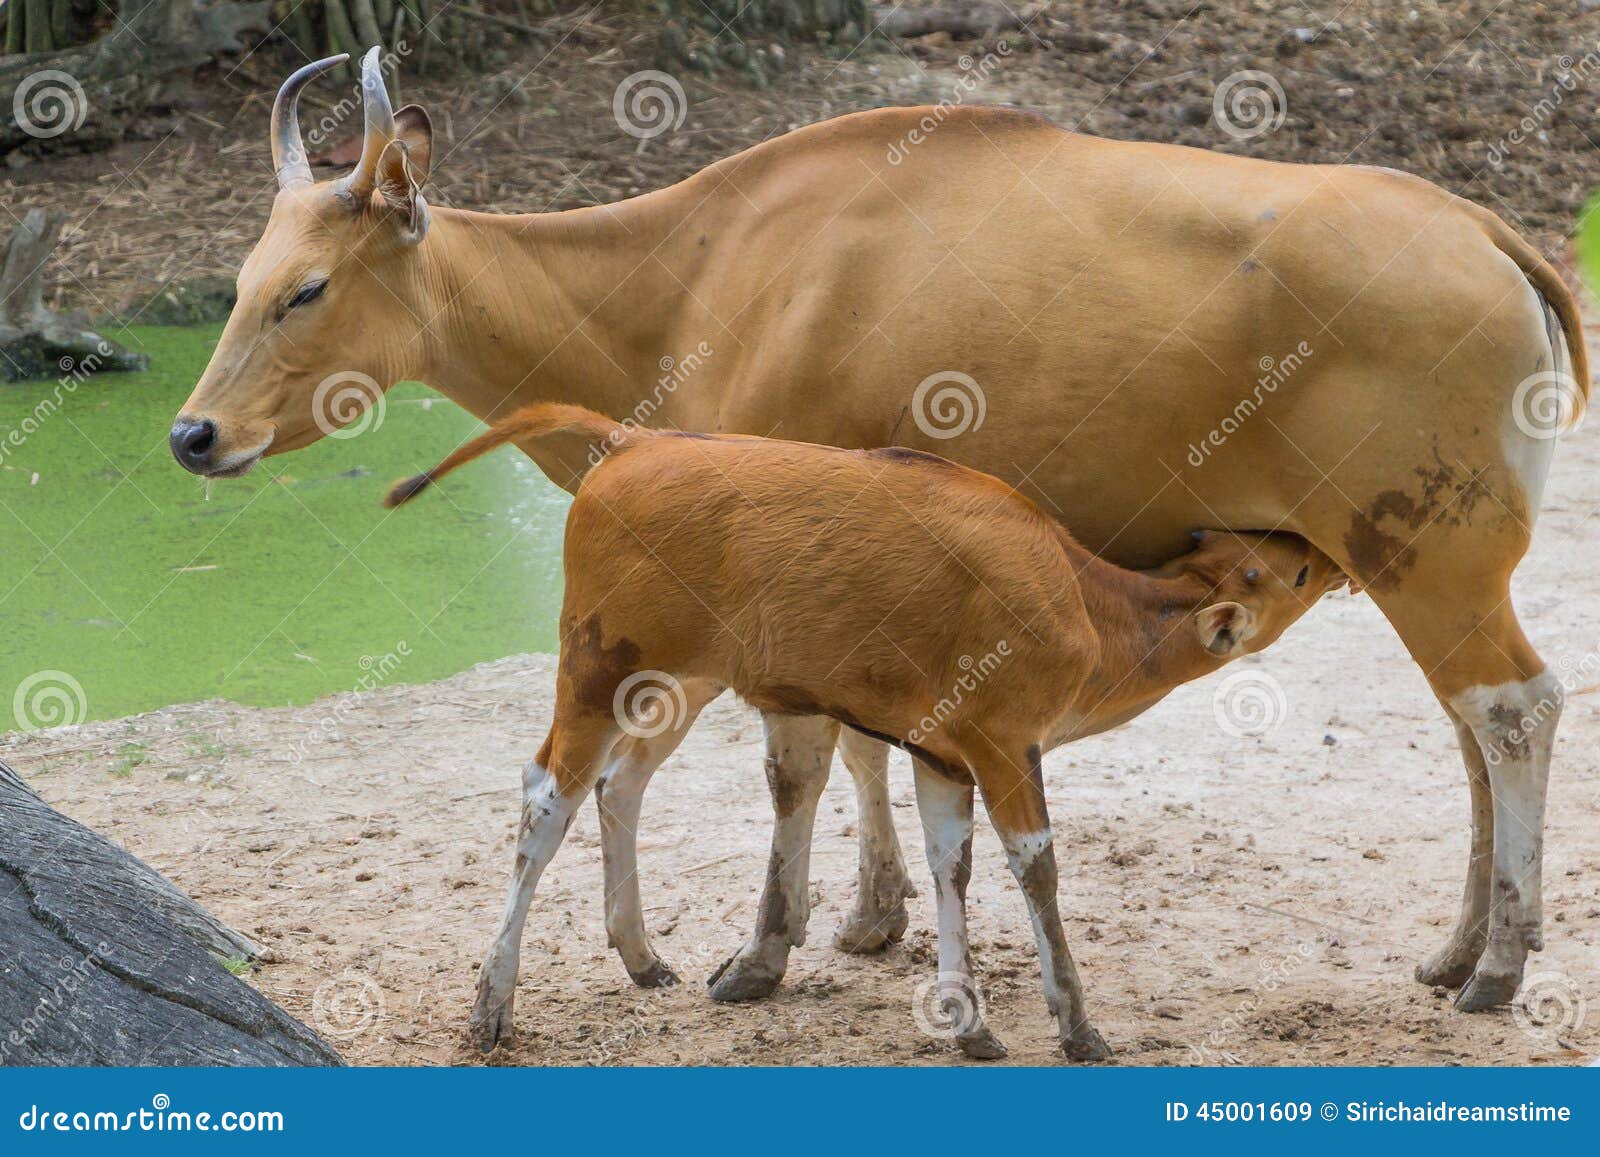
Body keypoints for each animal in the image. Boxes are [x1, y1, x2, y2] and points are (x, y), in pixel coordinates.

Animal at [172, 49, 1587, 1018]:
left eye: (307, 291)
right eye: (239, 283)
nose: (192, 434)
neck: (694, 278)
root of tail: (1484, 229)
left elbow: (797, 760)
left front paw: (768, 945)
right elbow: (864, 746)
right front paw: (871, 915)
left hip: (1433, 559)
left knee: (1514, 708)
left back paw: (1500, 967)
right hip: (1420, 567)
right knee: (1470, 726)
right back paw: (1456, 945)